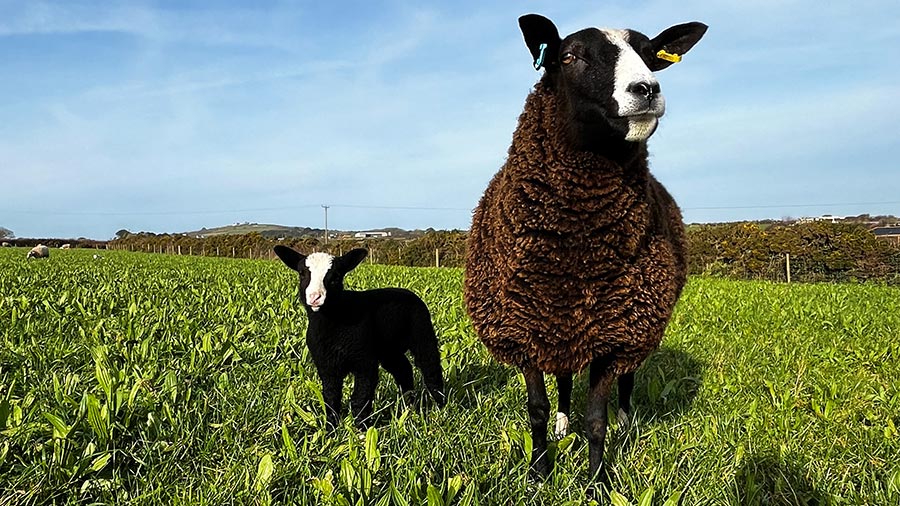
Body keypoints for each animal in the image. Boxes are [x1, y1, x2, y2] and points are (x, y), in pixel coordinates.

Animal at [274, 246, 446, 429]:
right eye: (302, 273)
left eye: (336, 276)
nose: (315, 297)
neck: (335, 321)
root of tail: (406, 291)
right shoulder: (326, 365)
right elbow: (330, 398)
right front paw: (331, 429)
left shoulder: (364, 361)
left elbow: (360, 398)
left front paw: (361, 429)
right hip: (388, 350)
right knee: (403, 369)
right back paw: (409, 406)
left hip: (422, 333)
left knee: (430, 368)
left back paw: (440, 406)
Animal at [464, 14, 706, 481]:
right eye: (569, 57)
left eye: (651, 55)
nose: (646, 89)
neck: (573, 253)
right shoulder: (522, 329)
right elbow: (536, 409)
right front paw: (540, 471)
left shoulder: (618, 334)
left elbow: (596, 419)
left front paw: (596, 481)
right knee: (562, 378)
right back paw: (563, 424)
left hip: (641, 323)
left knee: (629, 378)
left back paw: (626, 420)